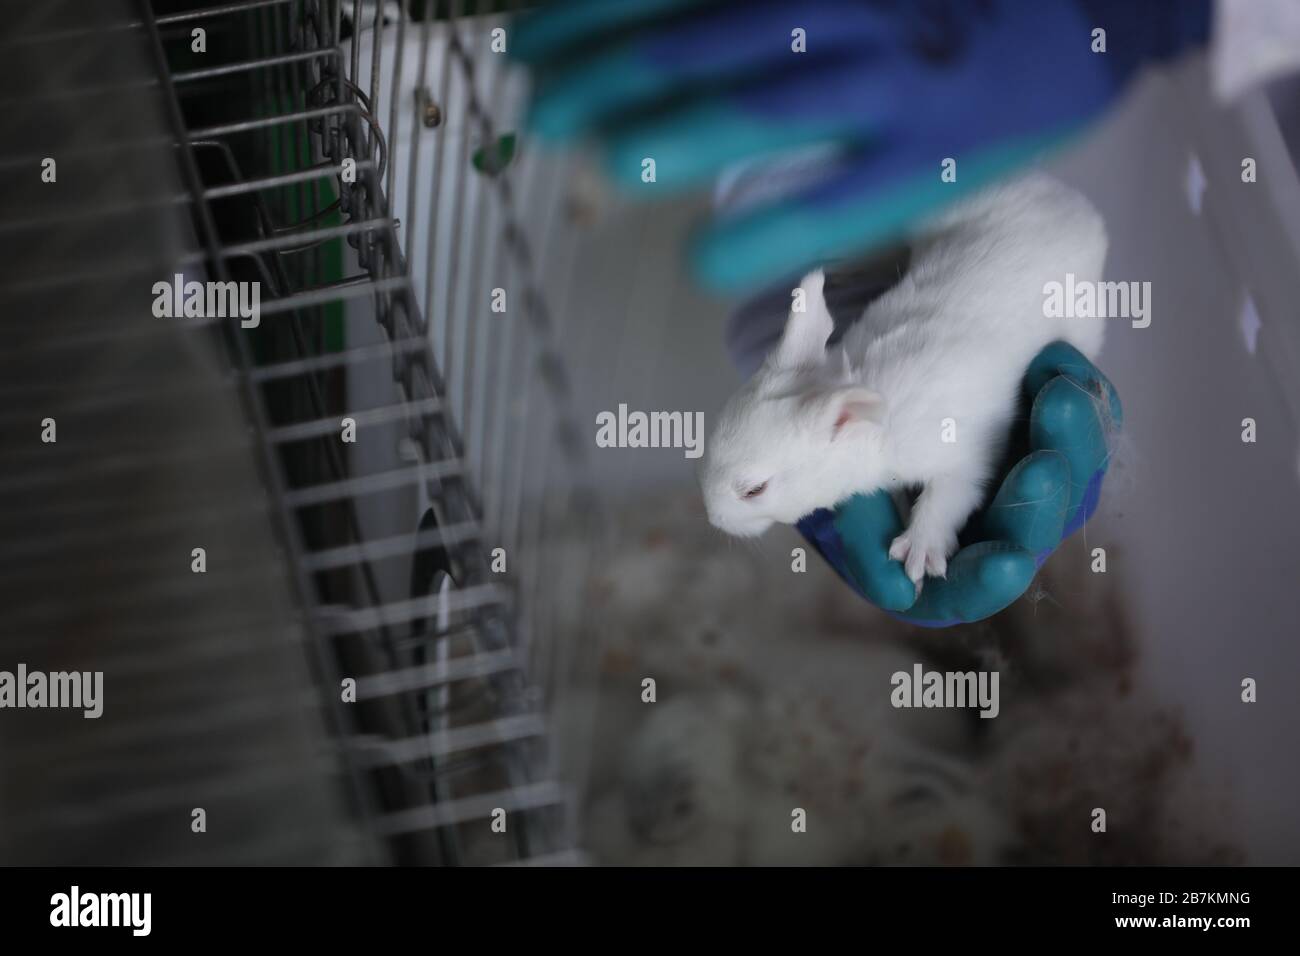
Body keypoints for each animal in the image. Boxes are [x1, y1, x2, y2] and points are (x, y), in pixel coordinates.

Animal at [699, 172, 1108, 591]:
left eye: (754, 490)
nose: (714, 517)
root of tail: (1071, 202)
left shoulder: (965, 454)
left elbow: (948, 496)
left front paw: (919, 552)